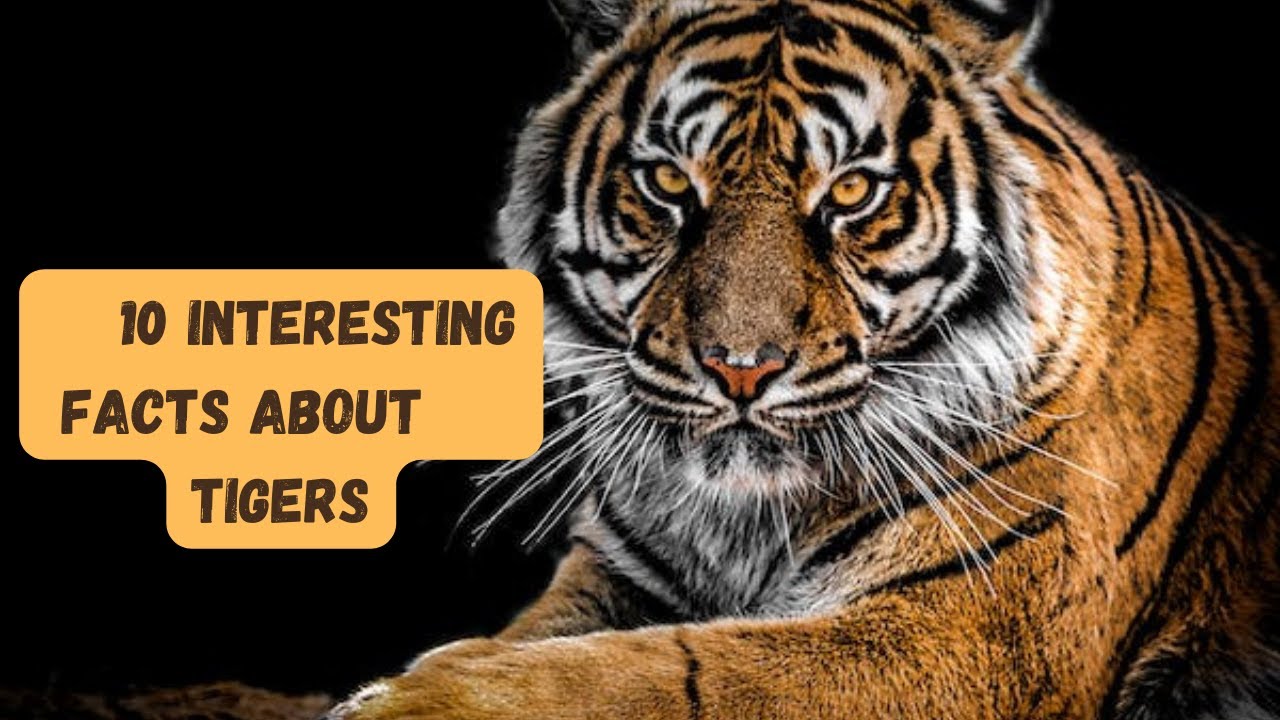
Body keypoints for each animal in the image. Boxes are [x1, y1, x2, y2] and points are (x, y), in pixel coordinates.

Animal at [329, 0, 1279, 717]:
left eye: (852, 190)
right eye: (667, 183)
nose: (741, 368)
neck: (744, 520)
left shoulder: (971, 630)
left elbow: (668, 672)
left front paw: (404, 701)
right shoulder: (616, 574)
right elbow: (552, 641)